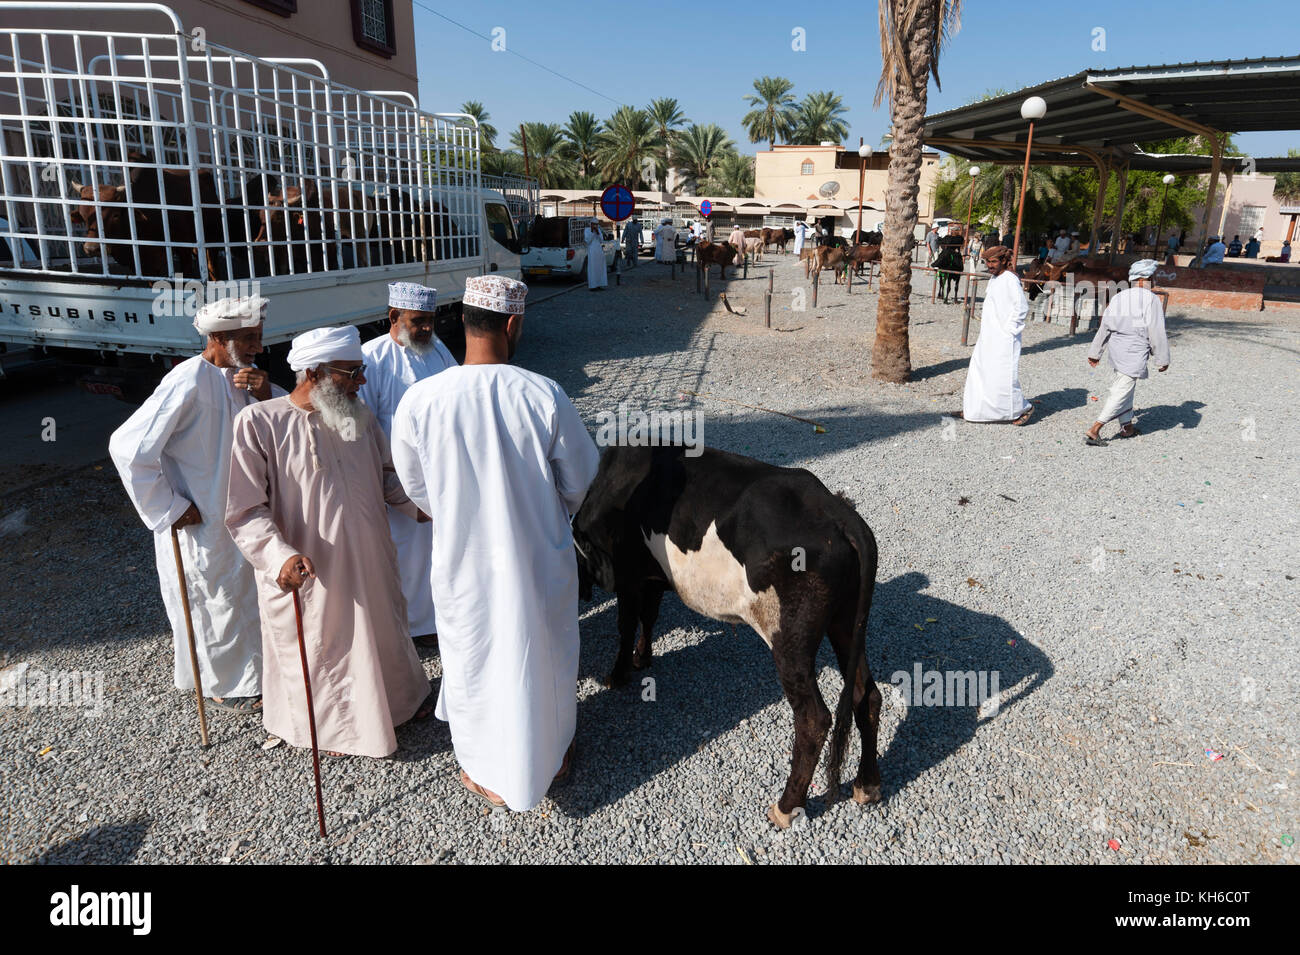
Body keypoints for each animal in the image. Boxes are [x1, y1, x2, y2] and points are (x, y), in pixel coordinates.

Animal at [572, 445, 881, 828]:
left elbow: (626, 623)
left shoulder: (628, 576)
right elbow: (649, 615)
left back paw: (786, 806)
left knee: (814, 718)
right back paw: (867, 784)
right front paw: (642, 657)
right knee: (867, 696)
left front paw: (617, 674)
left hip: (789, 640)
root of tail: (836, 510)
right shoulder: (653, 576)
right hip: (847, 623)